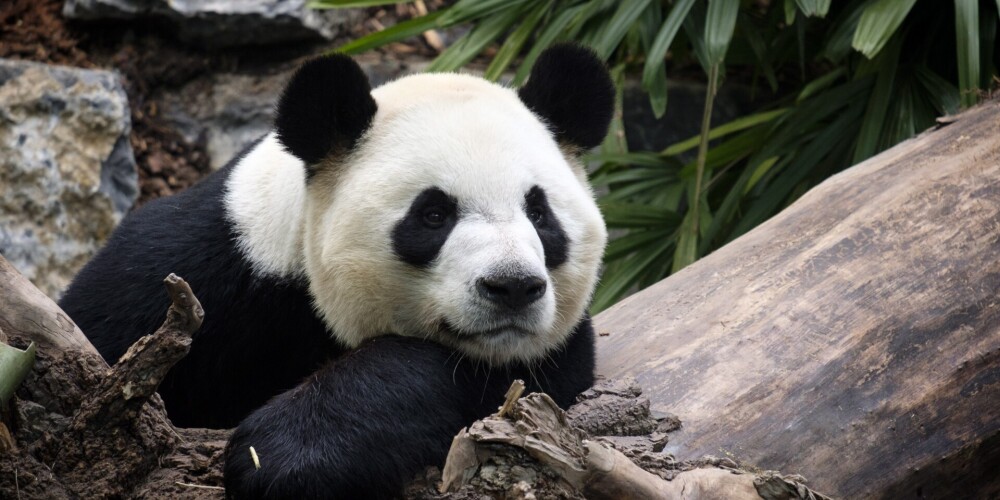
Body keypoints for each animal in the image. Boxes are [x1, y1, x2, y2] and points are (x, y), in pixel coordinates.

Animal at [58, 44, 613, 498]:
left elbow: (491, 375)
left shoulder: (546, 353)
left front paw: (284, 456)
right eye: (434, 215)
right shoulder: (195, 266)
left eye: (539, 213)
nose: (513, 287)